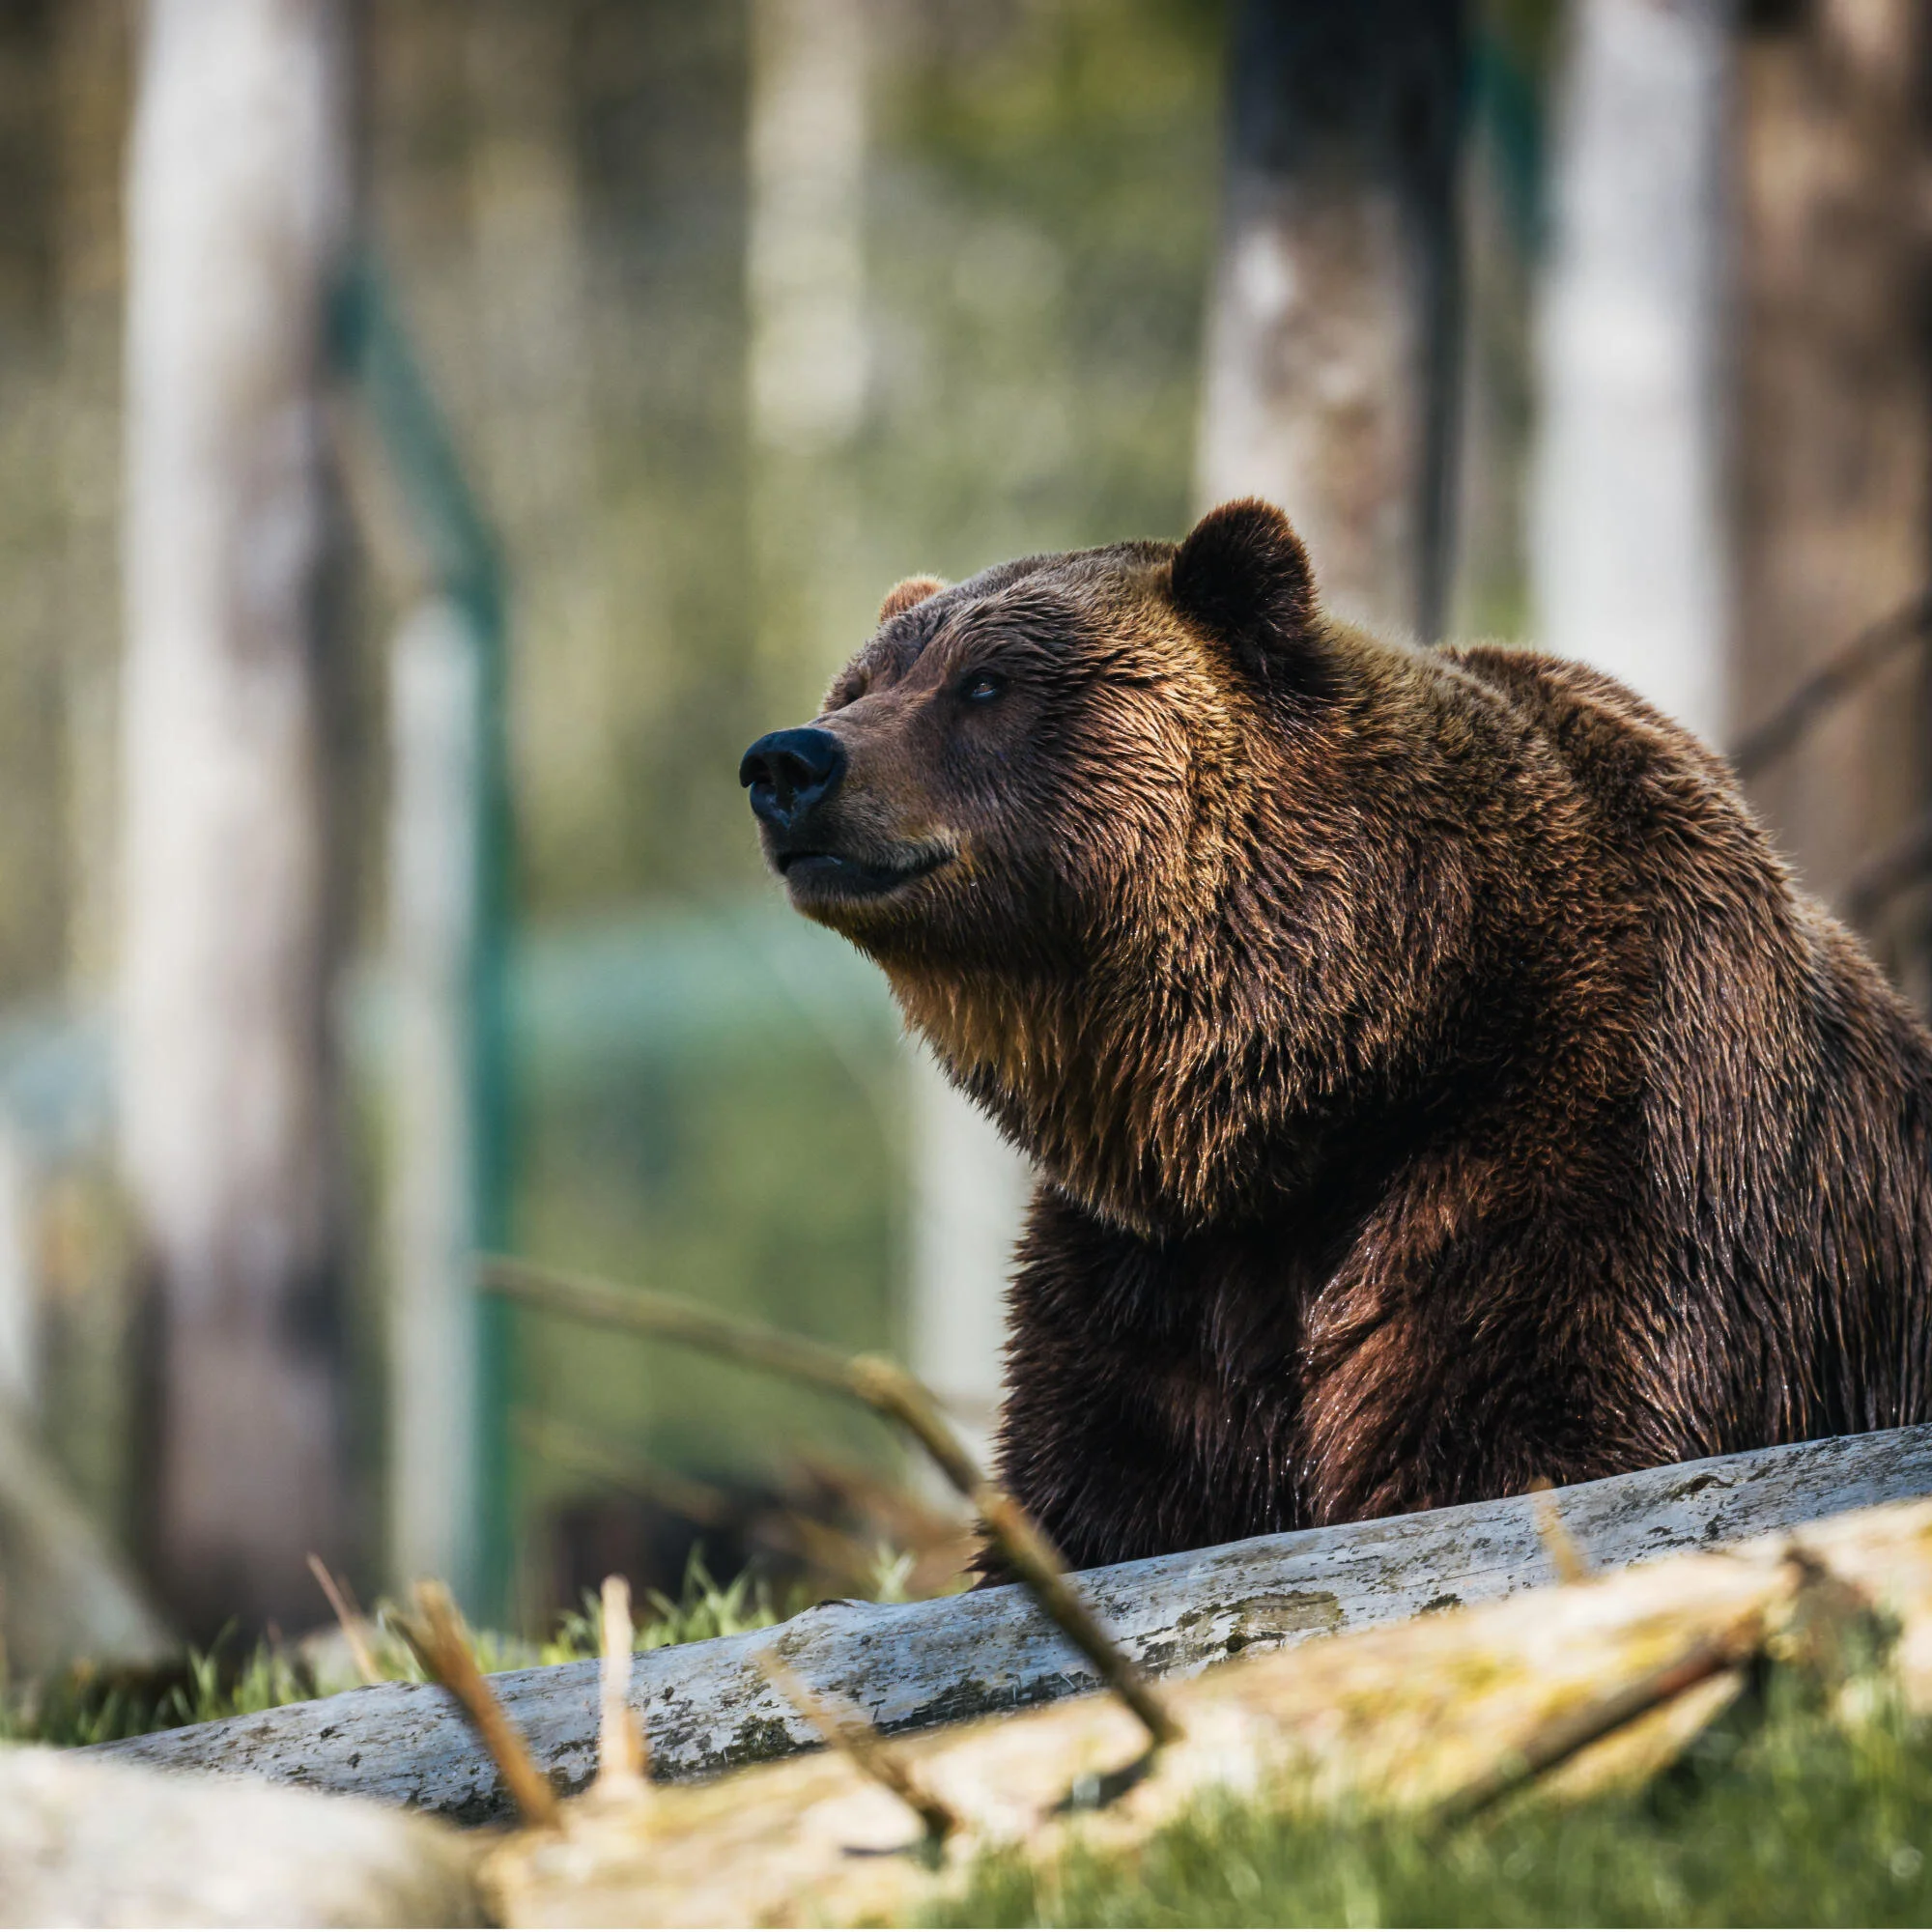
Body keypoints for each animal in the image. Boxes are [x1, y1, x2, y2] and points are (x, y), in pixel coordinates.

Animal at [739, 497, 1932, 1573]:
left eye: (984, 683)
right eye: (860, 685)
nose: (789, 761)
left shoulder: (1593, 1145)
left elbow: (1522, 1428)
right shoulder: (1153, 1274)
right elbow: (1103, 1487)